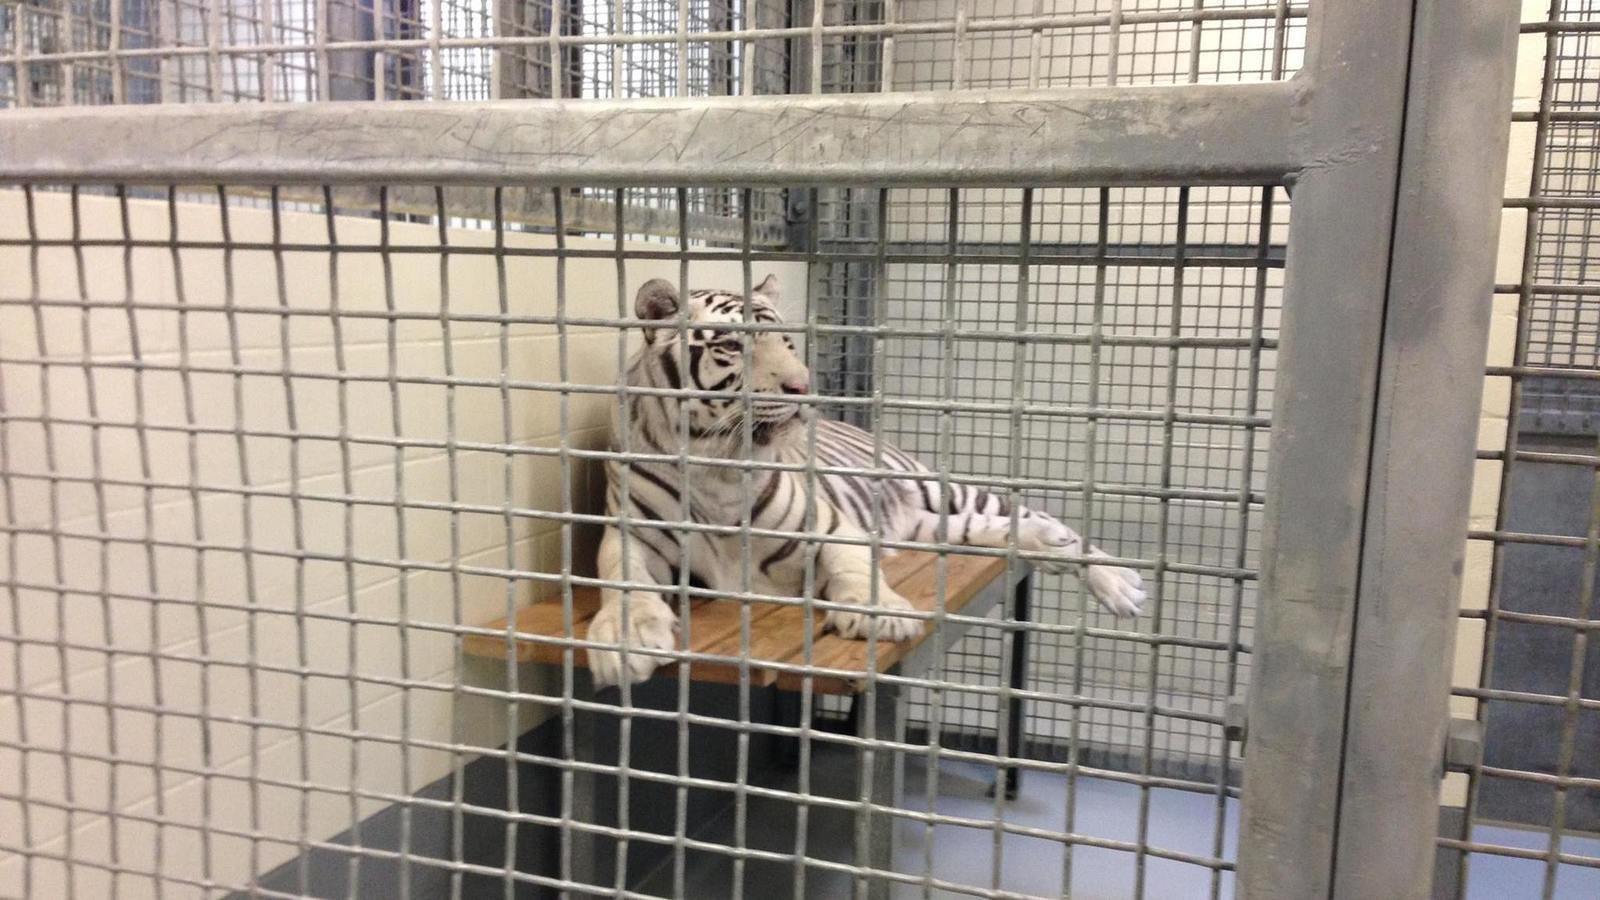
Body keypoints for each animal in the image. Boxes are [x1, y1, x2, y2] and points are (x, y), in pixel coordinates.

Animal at [588, 274, 1146, 687]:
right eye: (732, 345)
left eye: (787, 340)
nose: (804, 385)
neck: (716, 464)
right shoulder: (632, 534)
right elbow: (622, 578)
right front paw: (626, 635)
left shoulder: (831, 526)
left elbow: (853, 566)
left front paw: (881, 614)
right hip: (932, 527)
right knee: (996, 531)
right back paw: (1048, 544)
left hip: (942, 489)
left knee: (1034, 514)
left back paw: (1116, 580)